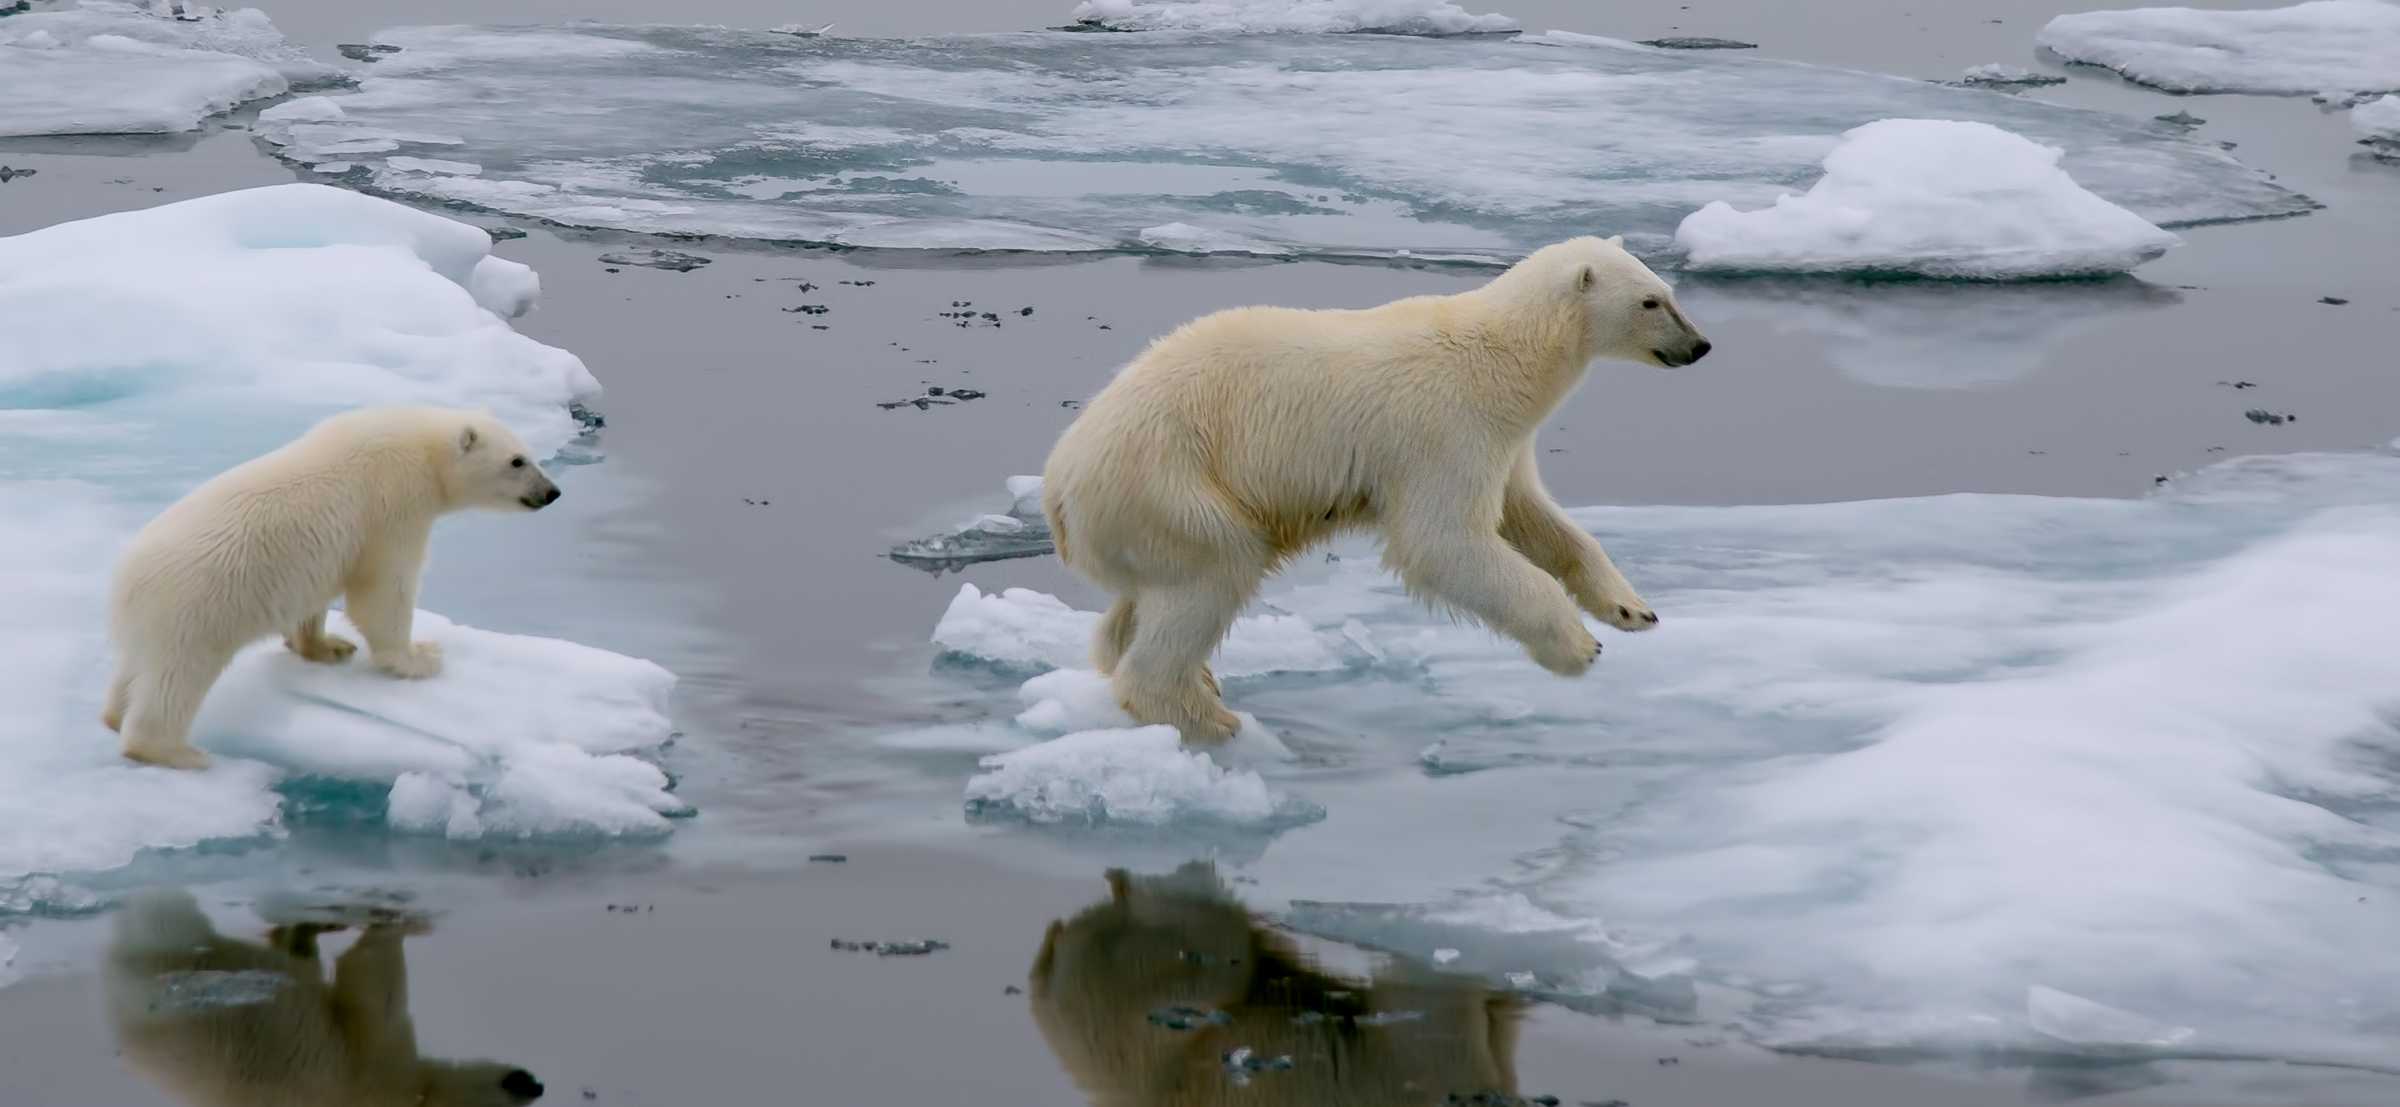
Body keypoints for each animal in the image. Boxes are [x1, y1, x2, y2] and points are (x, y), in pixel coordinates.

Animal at [103, 406, 563, 770]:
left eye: (528, 454)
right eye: (518, 461)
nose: (553, 492)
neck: (420, 445)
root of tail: (124, 579)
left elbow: (317, 598)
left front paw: (329, 647)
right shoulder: (394, 504)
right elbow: (384, 589)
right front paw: (421, 656)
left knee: (134, 669)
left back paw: (114, 715)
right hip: (194, 608)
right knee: (177, 679)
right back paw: (176, 752)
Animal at [103, 888, 545, 1107]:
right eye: (513, 1086)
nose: (536, 1084)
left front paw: (313, 926)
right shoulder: (376, 1078)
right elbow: (371, 983)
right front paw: (399, 919)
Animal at [1040, 236, 1711, 742]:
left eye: (1672, 292)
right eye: (1651, 301)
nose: (1700, 345)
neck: (1502, 358)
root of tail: (1057, 490)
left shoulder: (1504, 441)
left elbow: (1533, 517)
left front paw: (1632, 608)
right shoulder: (1444, 428)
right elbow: (1443, 541)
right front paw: (1578, 646)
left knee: (1141, 602)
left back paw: (1189, 679)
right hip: (1173, 485)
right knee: (1215, 572)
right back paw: (1212, 718)